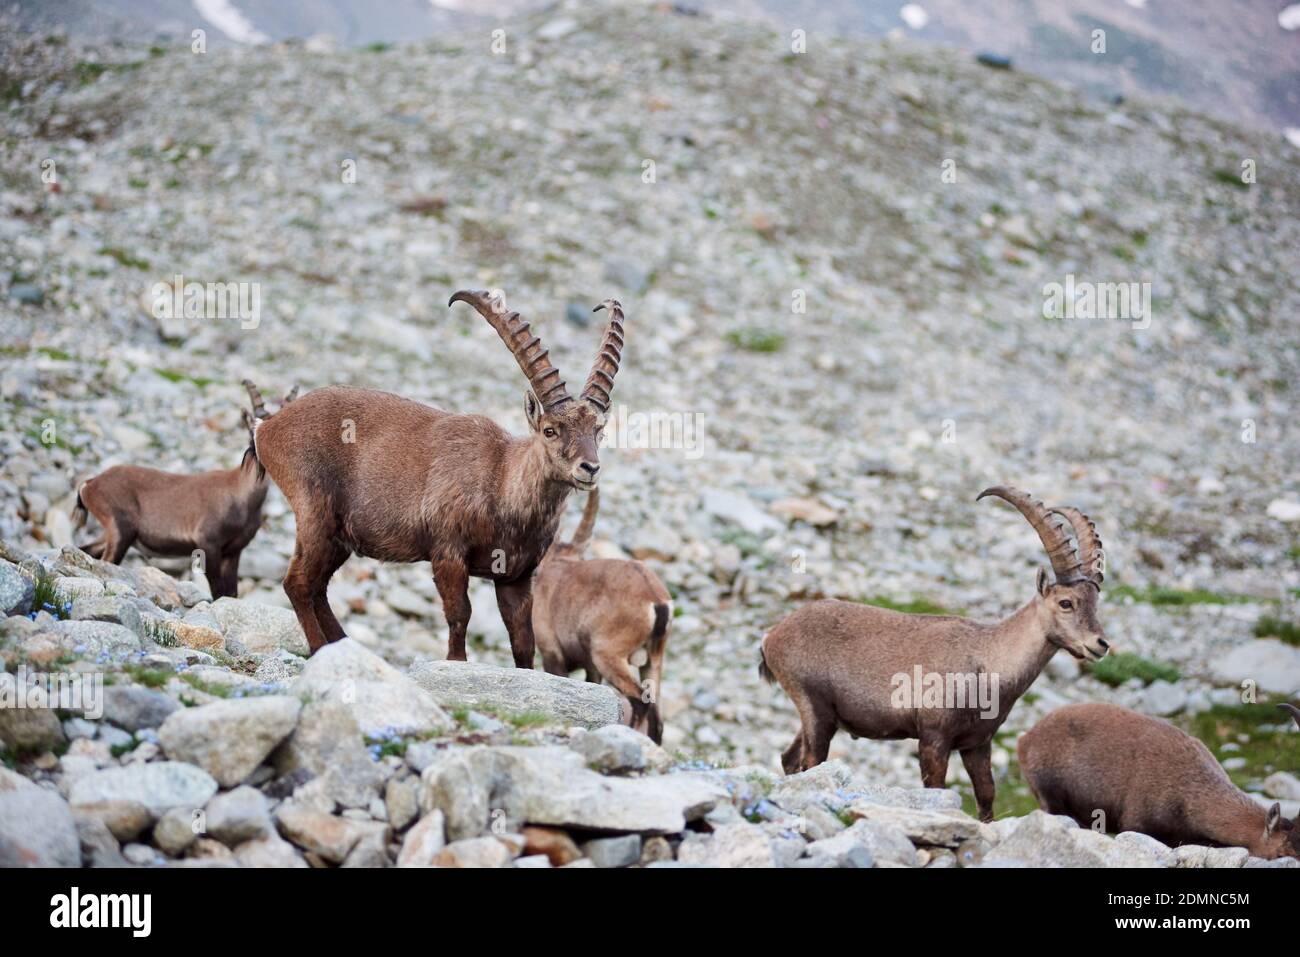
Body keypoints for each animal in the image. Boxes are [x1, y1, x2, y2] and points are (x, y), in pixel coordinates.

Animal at [72, 380, 296, 599]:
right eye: (252, 427)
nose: (255, 453)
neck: (242, 497)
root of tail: (90, 484)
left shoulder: (233, 551)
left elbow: (231, 593)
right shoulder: (207, 543)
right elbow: (218, 591)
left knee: (87, 549)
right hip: (120, 529)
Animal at [252, 290, 626, 661]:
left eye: (599, 431)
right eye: (550, 430)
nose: (589, 468)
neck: (501, 482)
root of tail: (267, 428)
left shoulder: (516, 575)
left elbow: (522, 640)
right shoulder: (447, 553)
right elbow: (460, 614)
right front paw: (457, 664)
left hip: (339, 537)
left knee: (317, 586)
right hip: (313, 511)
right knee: (297, 582)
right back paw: (319, 648)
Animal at [532, 487, 672, 743]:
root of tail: (656, 599)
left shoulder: (551, 652)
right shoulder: (592, 668)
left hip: (607, 654)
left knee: (639, 701)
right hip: (654, 660)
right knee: (657, 718)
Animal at [759, 485, 1110, 821]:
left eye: (1095, 603)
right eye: (1066, 602)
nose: (1100, 644)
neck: (987, 660)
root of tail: (772, 635)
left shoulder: (977, 743)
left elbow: (986, 795)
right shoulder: (933, 738)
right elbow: (937, 790)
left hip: (822, 715)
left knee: (790, 759)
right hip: (813, 705)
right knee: (811, 760)